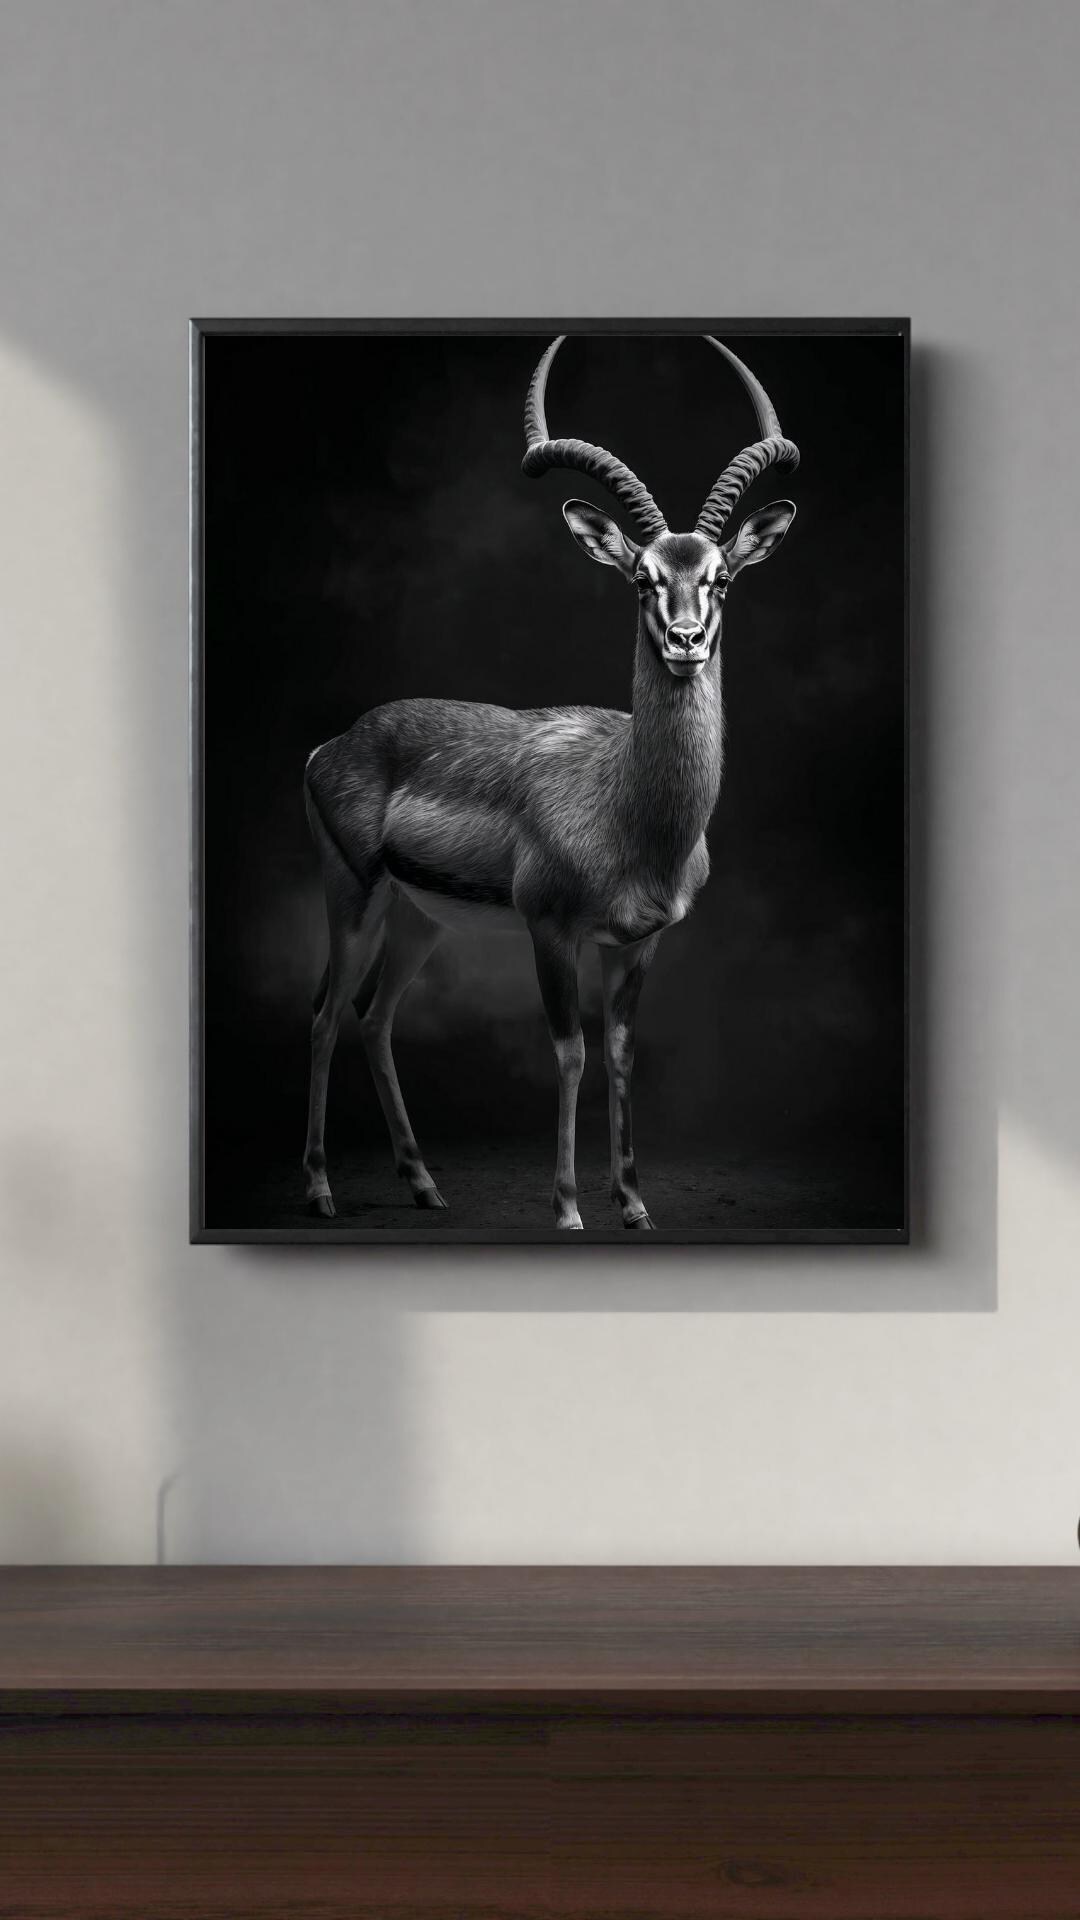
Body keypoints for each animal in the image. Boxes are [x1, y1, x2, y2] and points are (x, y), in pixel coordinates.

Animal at [302, 335, 799, 1229]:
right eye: (642, 576)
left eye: (719, 576)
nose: (684, 640)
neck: (627, 806)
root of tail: (335, 745)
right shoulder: (550, 931)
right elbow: (569, 1053)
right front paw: (568, 1207)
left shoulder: (637, 943)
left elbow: (622, 1052)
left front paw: (633, 1203)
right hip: (352, 896)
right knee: (325, 1013)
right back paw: (321, 1188)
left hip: (420, 918)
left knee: (374, 1015)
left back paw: (424, 1185)